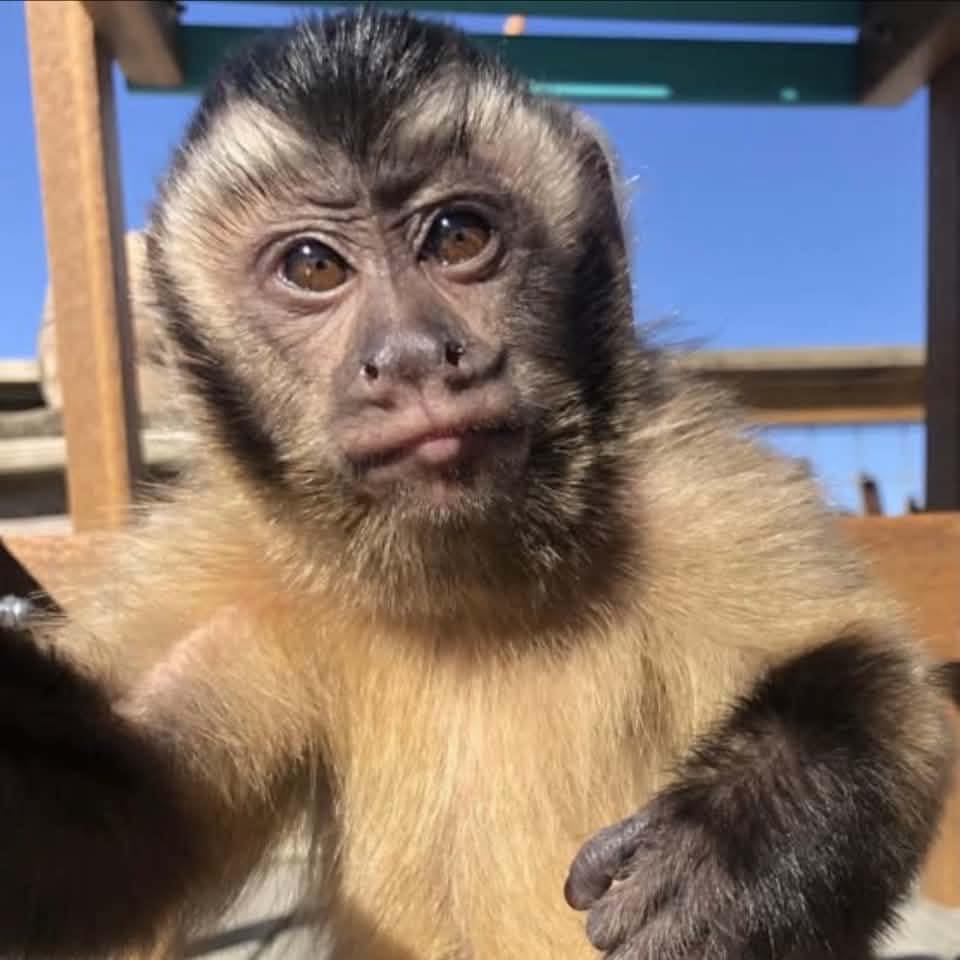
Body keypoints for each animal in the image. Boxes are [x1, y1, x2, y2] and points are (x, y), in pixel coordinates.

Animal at [1, 10, 958, 960]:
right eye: (313, 266)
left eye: (458, 236)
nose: (415, 355)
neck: (474, 591)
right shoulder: (234, 550)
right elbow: (122, 828)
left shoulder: (684, 474)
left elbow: (892, 692)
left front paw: (731, 853)